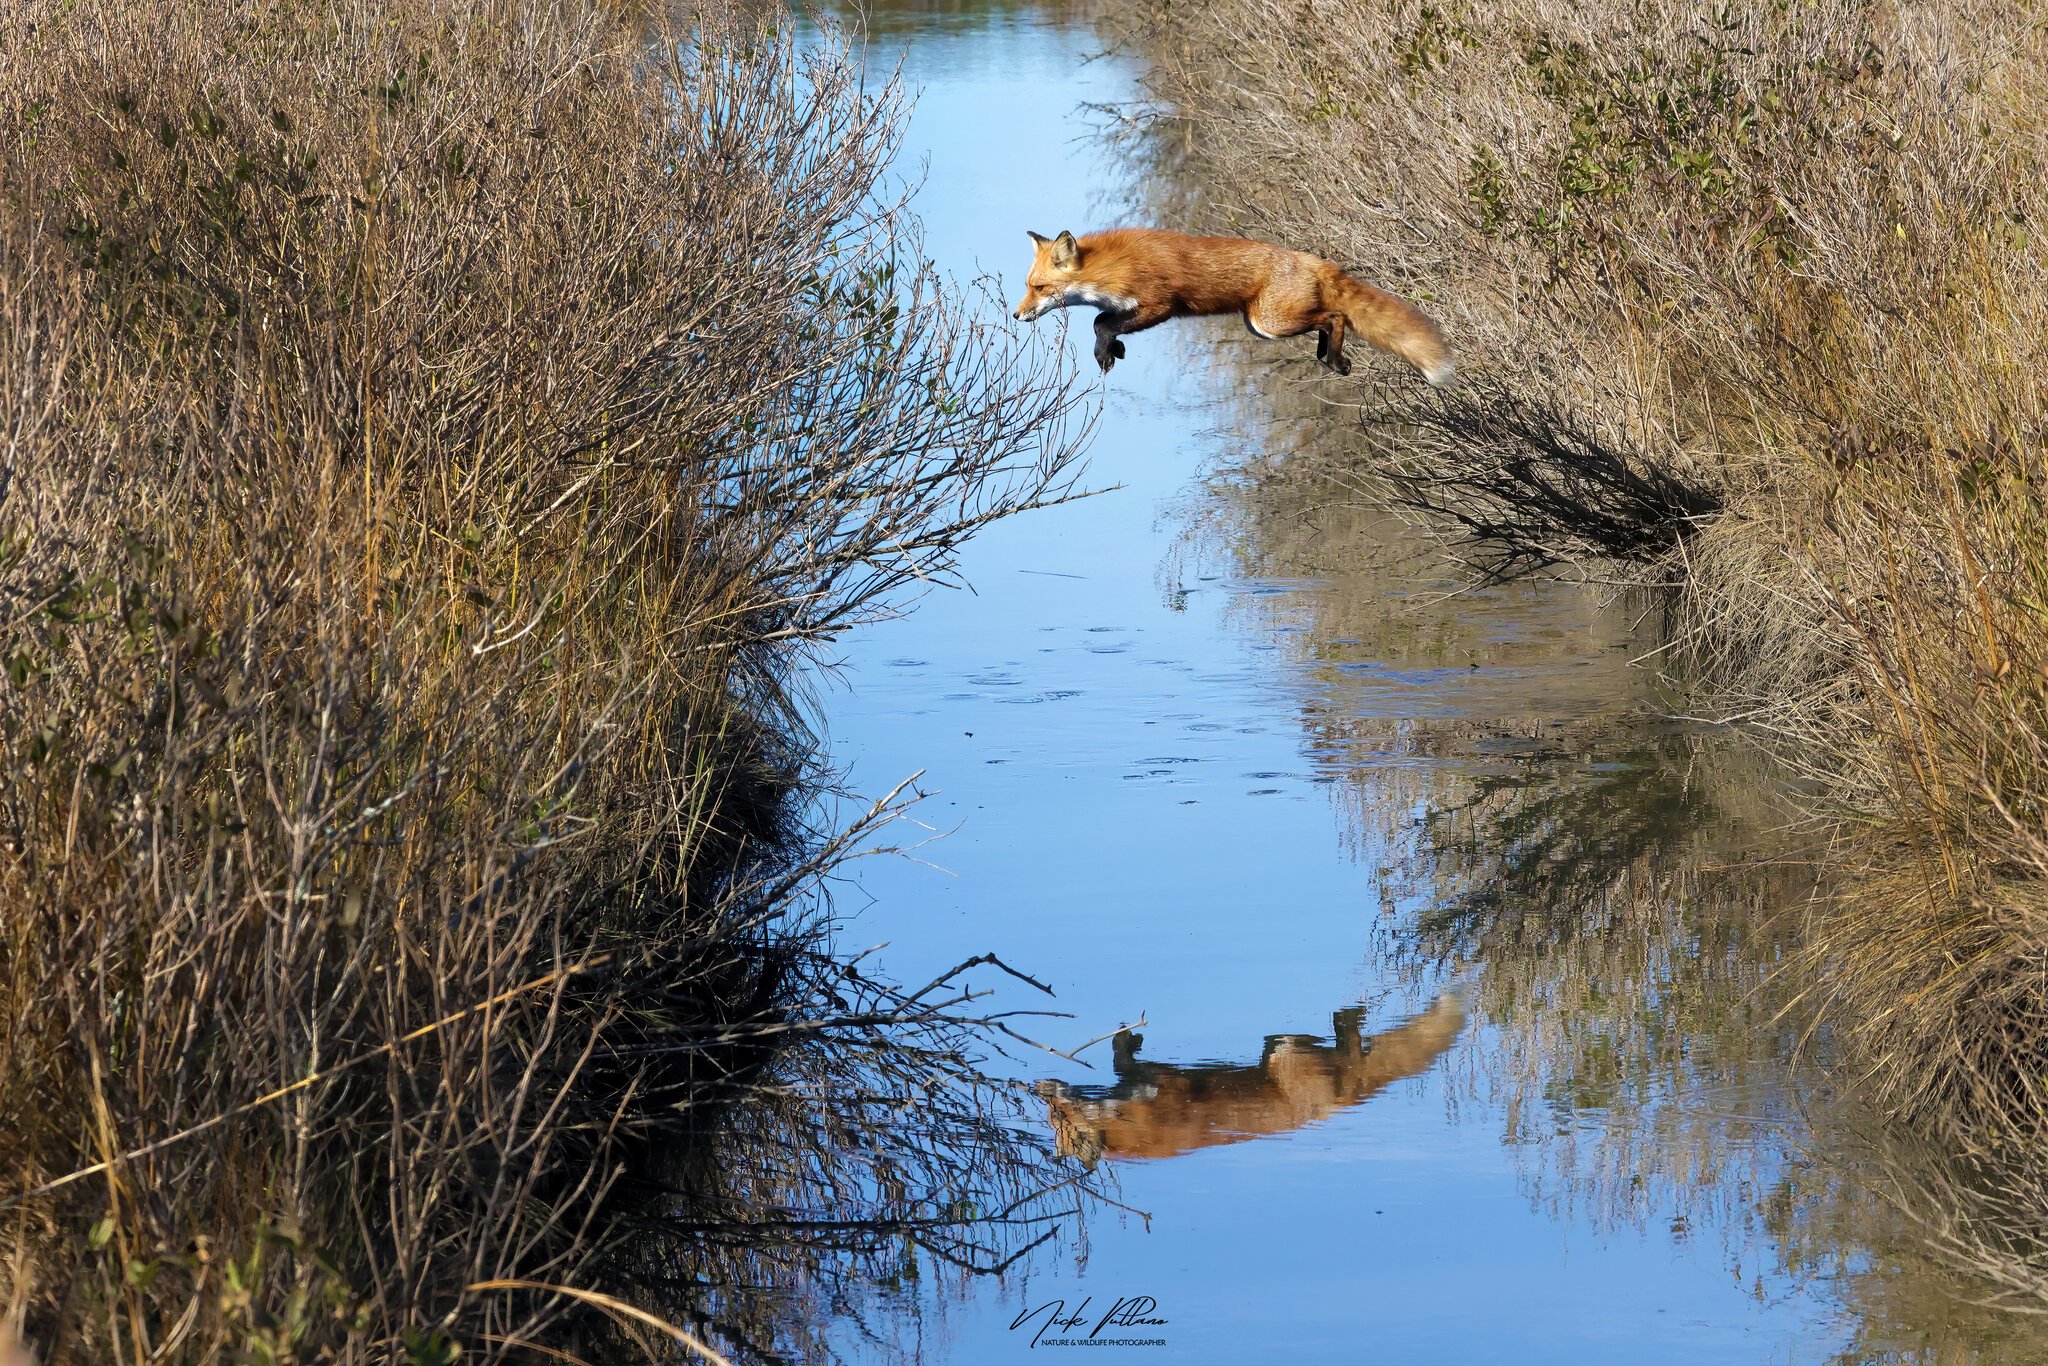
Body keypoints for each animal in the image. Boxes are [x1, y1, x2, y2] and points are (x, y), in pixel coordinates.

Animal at [1012, 227, 1454, 384]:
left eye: (1039, 287)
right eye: (1027, 286)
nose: (1016, 315)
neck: (1114, 265)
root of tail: (1312, 259)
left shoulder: (1160, 305)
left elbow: (1101, 322)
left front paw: (1107, 352)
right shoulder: (1135, 307)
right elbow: (1104, 322)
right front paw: (1115, 350)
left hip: (1271, 322)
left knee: (1336, 315)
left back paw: (1333, 359)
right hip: (1260, 324)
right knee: (1328, 321)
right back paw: (1328, 355)